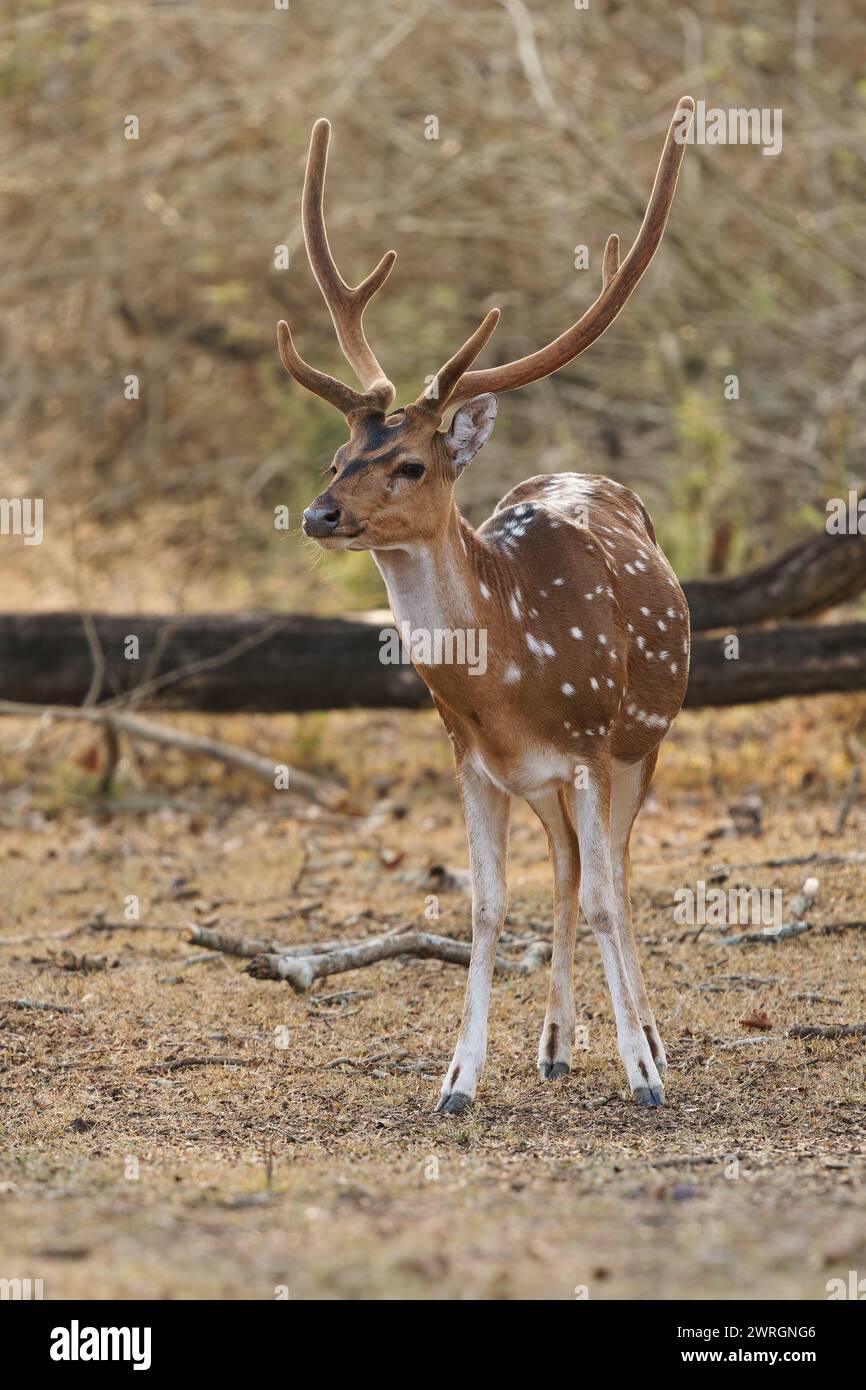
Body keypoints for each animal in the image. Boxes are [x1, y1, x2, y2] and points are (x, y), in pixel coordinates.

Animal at [277, 97, 695, 1111]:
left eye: (409, 464)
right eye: (337, 457)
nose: (319, 514)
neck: (508, 678)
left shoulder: (590, 743)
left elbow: (607, 896)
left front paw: (642, 1074)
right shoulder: (471, 758)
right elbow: (487, 902)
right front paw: (458, 1079)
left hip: (644, 741)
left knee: (616, 868)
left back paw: (649, 1043)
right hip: (543, 784)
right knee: (567, 867)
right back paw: (554, 1043)